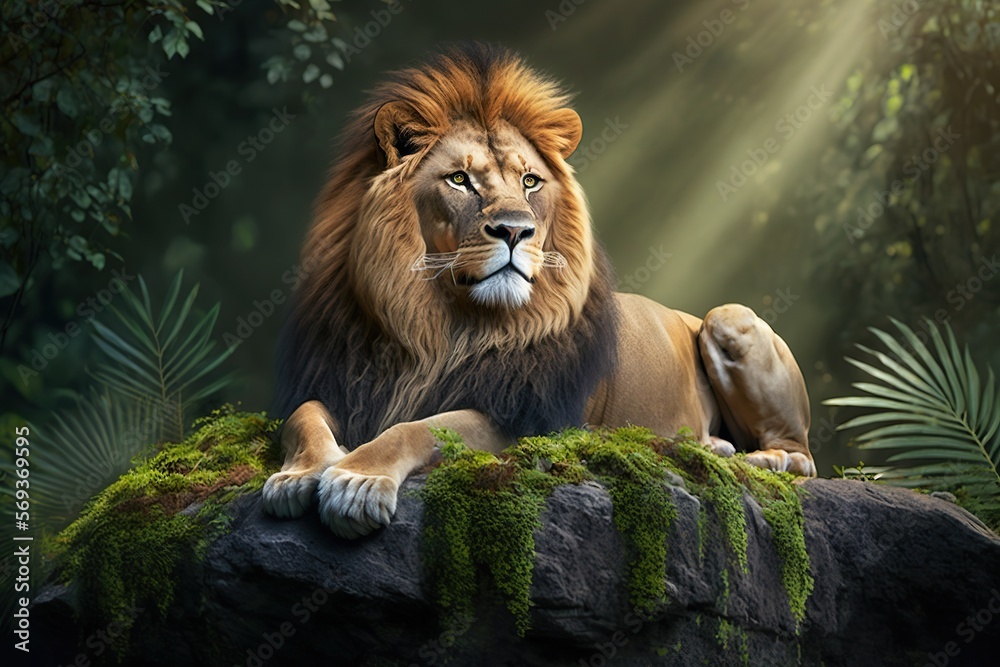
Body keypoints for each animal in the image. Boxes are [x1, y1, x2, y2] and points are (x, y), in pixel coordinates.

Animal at [263, 43, 814, 539]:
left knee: (804, 455)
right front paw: (299, 475)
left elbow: (420, 426)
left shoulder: (523, 417)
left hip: (728, 315)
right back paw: (711, 447)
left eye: (530, 182)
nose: (515, 230)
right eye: (459, 179)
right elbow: (303, 416)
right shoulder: (345, 382)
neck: (438, 325)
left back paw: (765, 459)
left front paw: (357, 480)